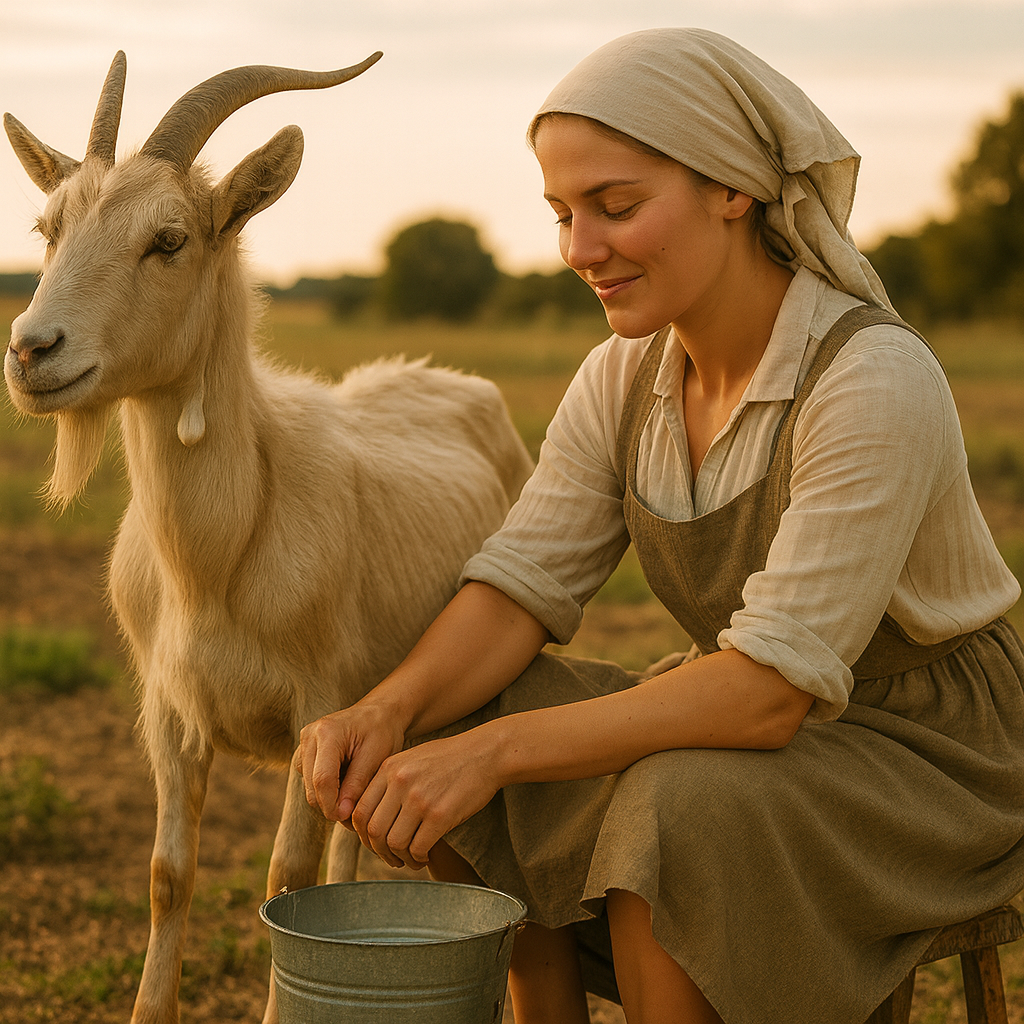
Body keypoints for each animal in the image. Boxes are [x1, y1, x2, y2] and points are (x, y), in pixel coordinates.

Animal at [3, 51, 534, 1024]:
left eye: (168, 240)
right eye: (47, 226)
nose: (32, 351)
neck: (217, 558)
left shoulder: (318, 705)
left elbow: (286, 876)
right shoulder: (169, 715)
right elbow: (167, 875)